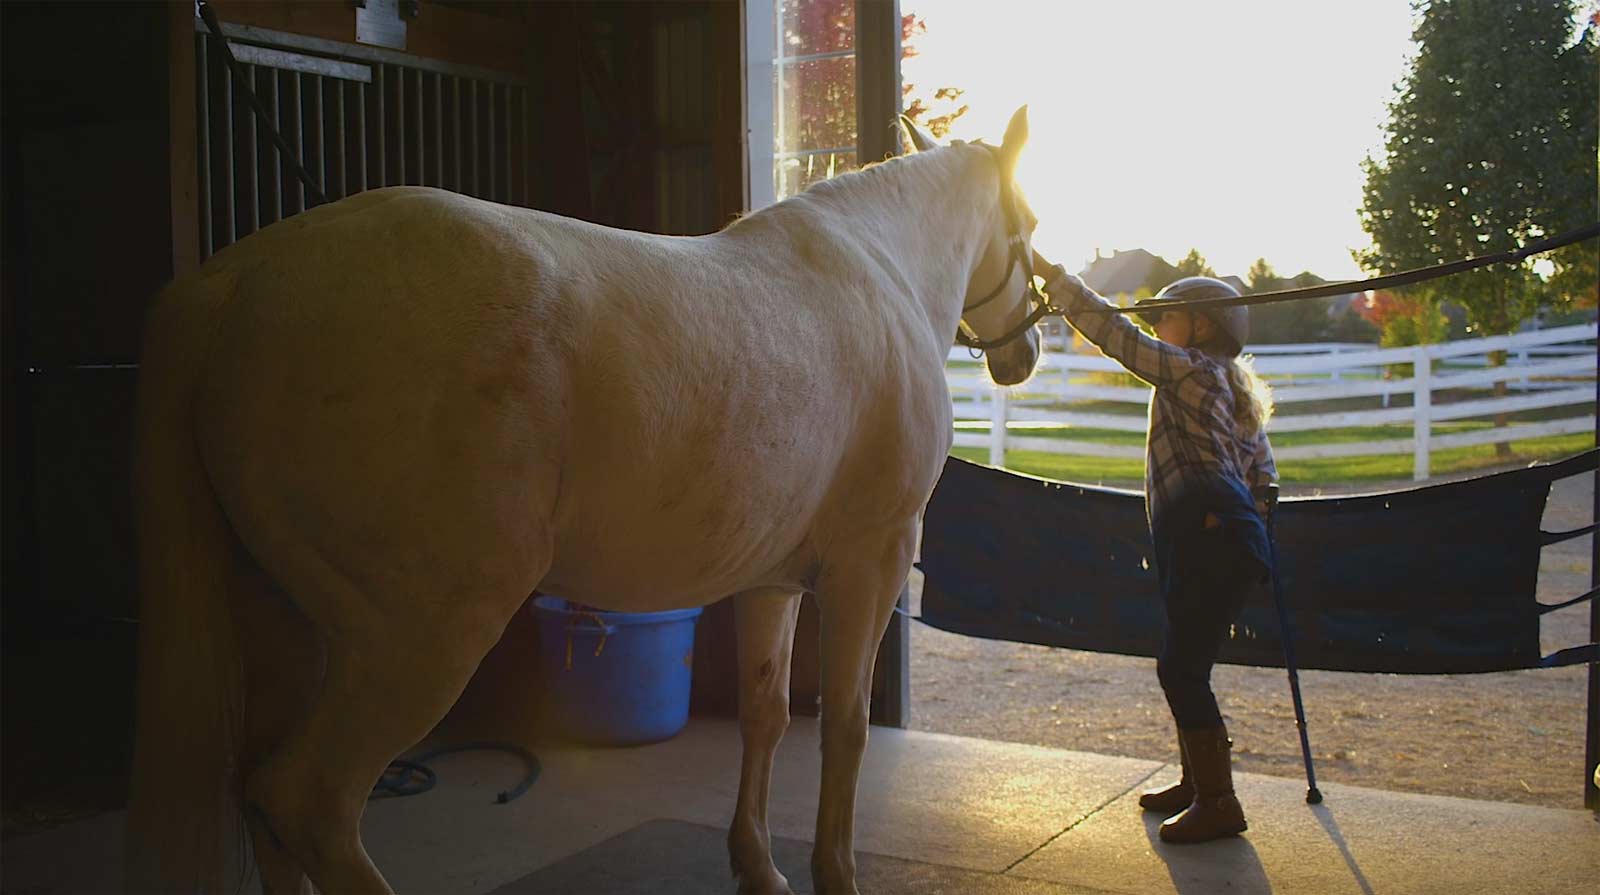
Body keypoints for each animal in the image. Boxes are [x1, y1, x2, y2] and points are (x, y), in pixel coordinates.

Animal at [126, 105, 1043, 895]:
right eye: (1027, 229)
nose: (1026, 351)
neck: (878, 268)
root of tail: (240, 281)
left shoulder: (771, 578)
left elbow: (766, 713)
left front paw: (757, 865)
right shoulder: (871, 562)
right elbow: (845, 725)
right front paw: (833, 872)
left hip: (286, 624)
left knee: (261, 799)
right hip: (417, 636)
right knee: (306, 801)